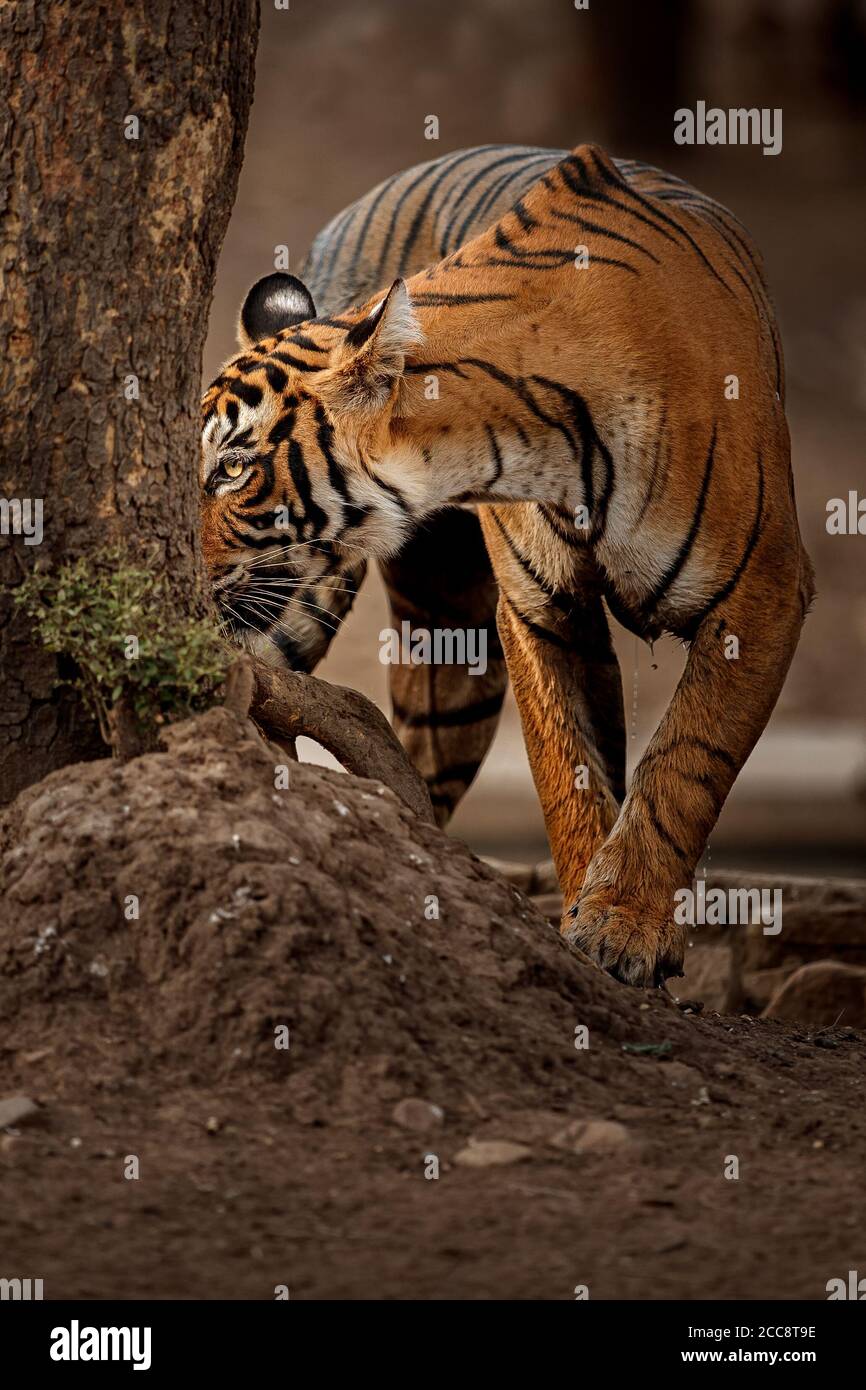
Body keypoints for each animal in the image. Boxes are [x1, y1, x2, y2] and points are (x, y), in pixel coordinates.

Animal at [201, 141, 815, 989]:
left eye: (232, 468)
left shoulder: (762, 594)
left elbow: (686, 758)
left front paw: (624, 927)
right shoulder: (539, 609)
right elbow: (568, 767)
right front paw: (592, 925)